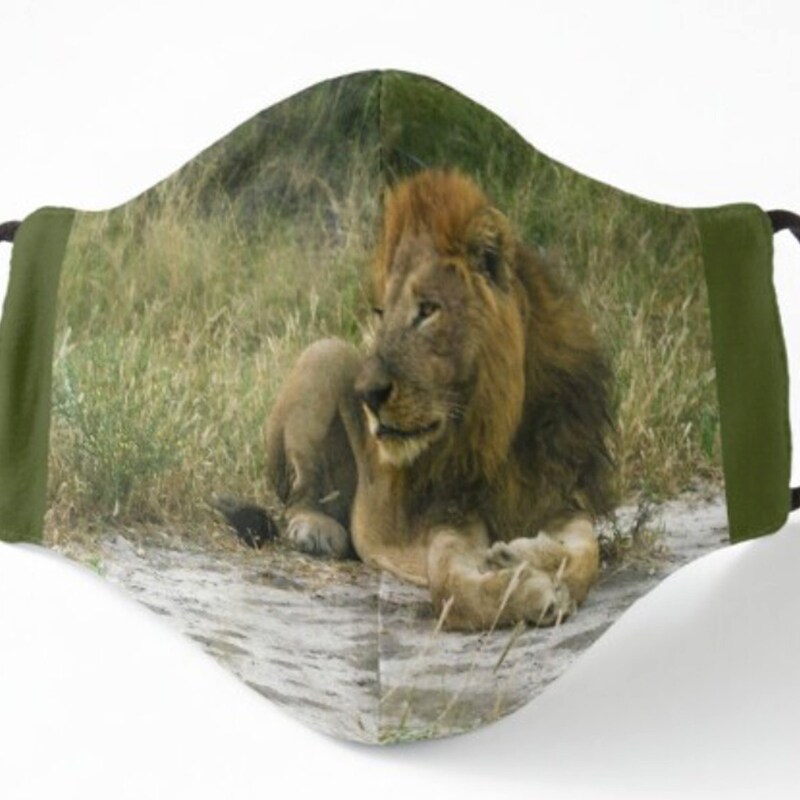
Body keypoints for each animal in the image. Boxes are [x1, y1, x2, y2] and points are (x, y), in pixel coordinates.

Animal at [227, 169, 616, 631]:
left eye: (428, 310)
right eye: (381, 313)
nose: (366, 393)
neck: (500, 431)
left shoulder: (561, 500)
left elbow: (589, 553)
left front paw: (524, 555)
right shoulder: (447, 520)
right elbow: (453, 588)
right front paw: (528, 590)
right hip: (324, 353)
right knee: (299, 497)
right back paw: (316, 531)